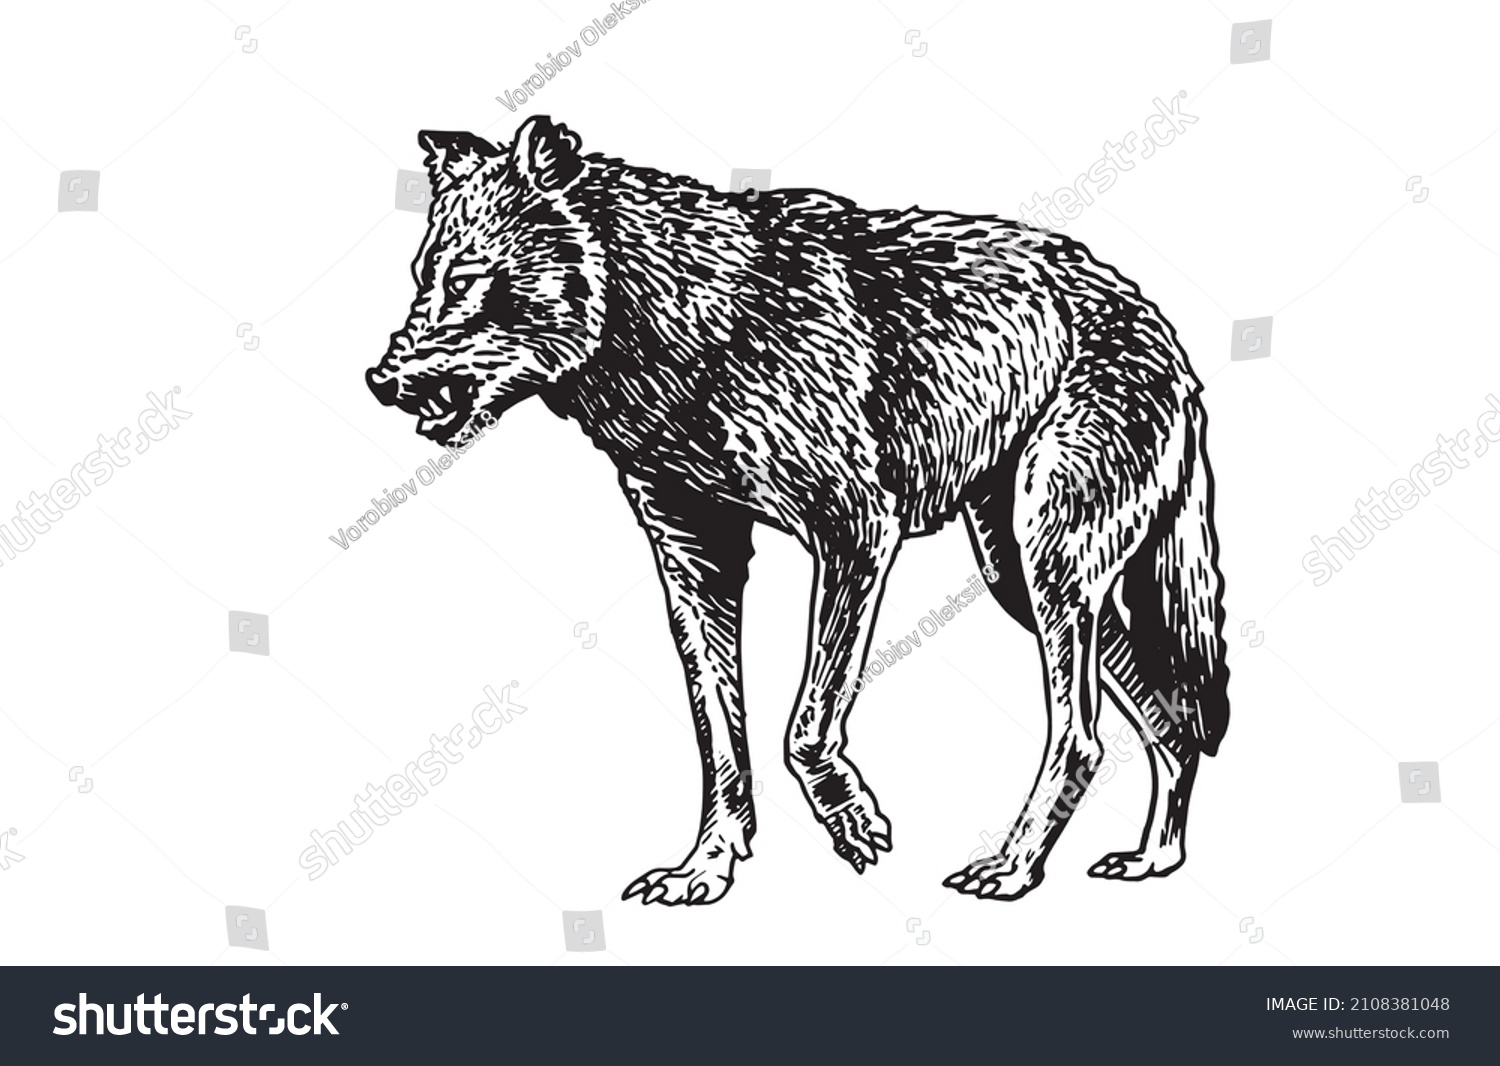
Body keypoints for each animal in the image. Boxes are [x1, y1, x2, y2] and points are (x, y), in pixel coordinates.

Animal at [366, 115, 1229, 905]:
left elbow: (804, 728)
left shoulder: (858, 536)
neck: (700, 325)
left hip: (1049, 571)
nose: (380, 379)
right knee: (1170, 722)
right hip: (1023, 576)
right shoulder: (697, 563)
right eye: (419, 276)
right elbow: (721, 739)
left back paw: (1014, 870)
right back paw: (1154, 859)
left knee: (1083, 737)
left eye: (465, 280)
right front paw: (706, 870)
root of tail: (1163, 330)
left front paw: (852, 821)